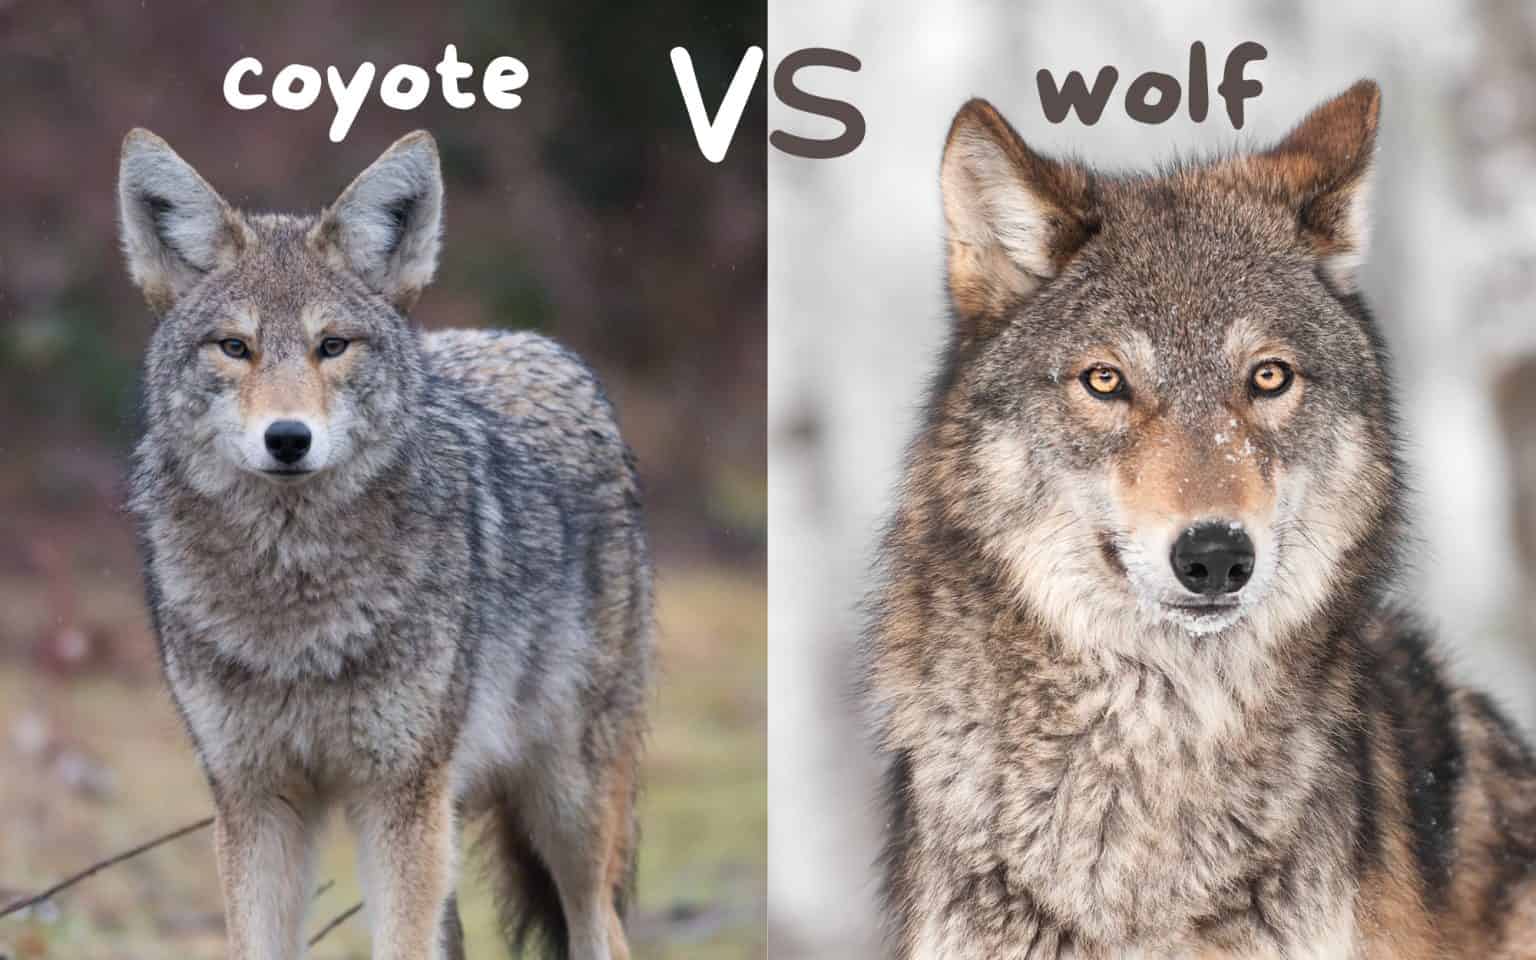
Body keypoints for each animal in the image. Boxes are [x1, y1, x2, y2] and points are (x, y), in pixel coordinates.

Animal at [118, 128, 652, 960]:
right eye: (234, 348)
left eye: (332, 345)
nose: (288, 438)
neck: (294, 600)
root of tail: (540, 346)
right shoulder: (256, 801)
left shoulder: (397, 795)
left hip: (565, 806)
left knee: (604, 929)